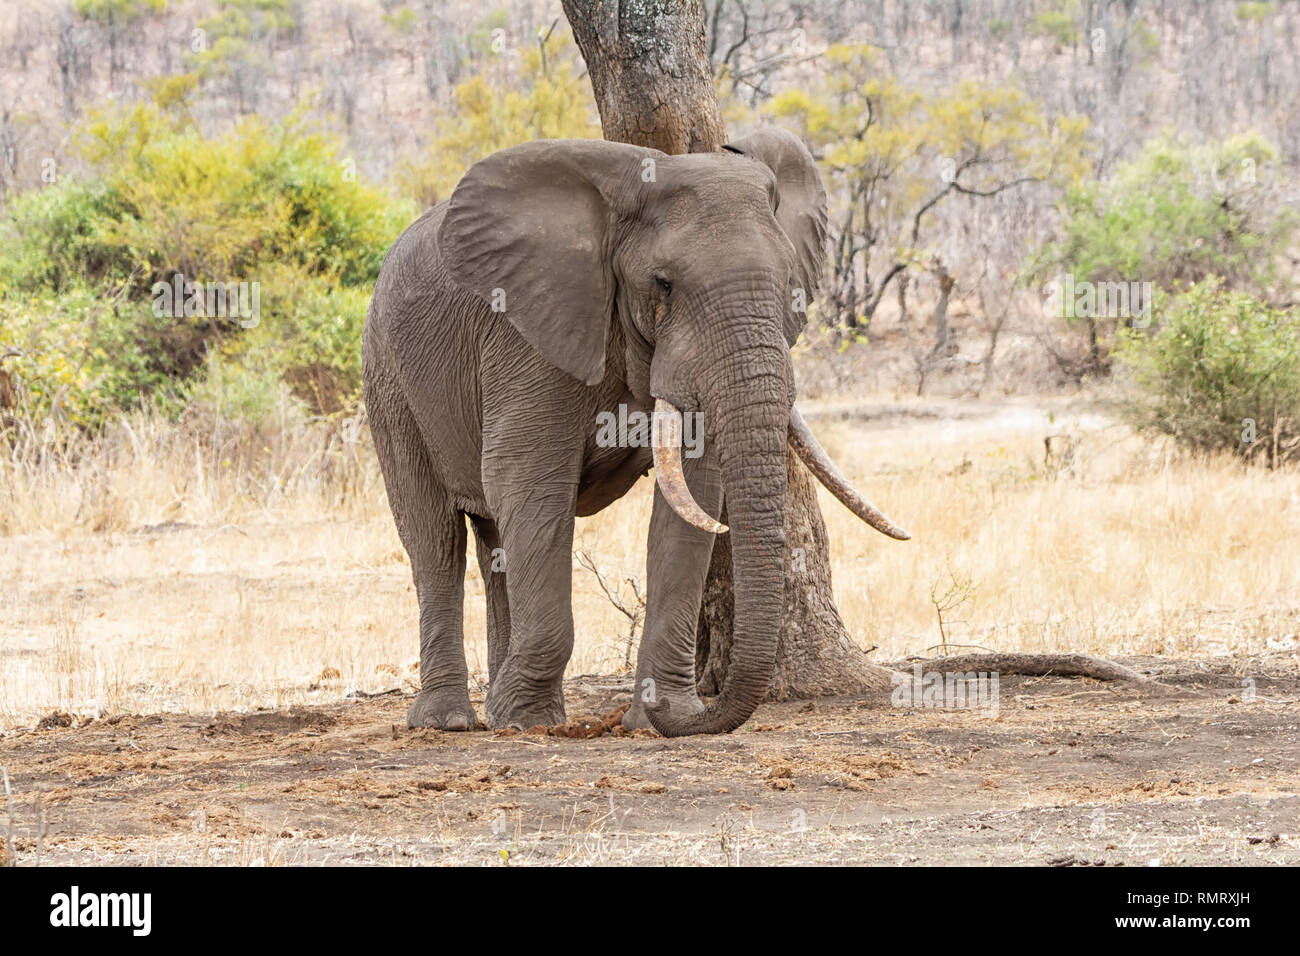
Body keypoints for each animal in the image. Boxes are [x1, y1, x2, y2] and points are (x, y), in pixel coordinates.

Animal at [362, 127, 908, 737]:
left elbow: (692, 497)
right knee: (435, 538)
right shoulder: (528, 335)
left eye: (791, 283)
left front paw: (663, 714)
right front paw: (528, 722)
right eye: (663, 284)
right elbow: (528, 484)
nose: (691, 708)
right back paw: (449, 721)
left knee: (490, 540)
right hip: (387, 376)